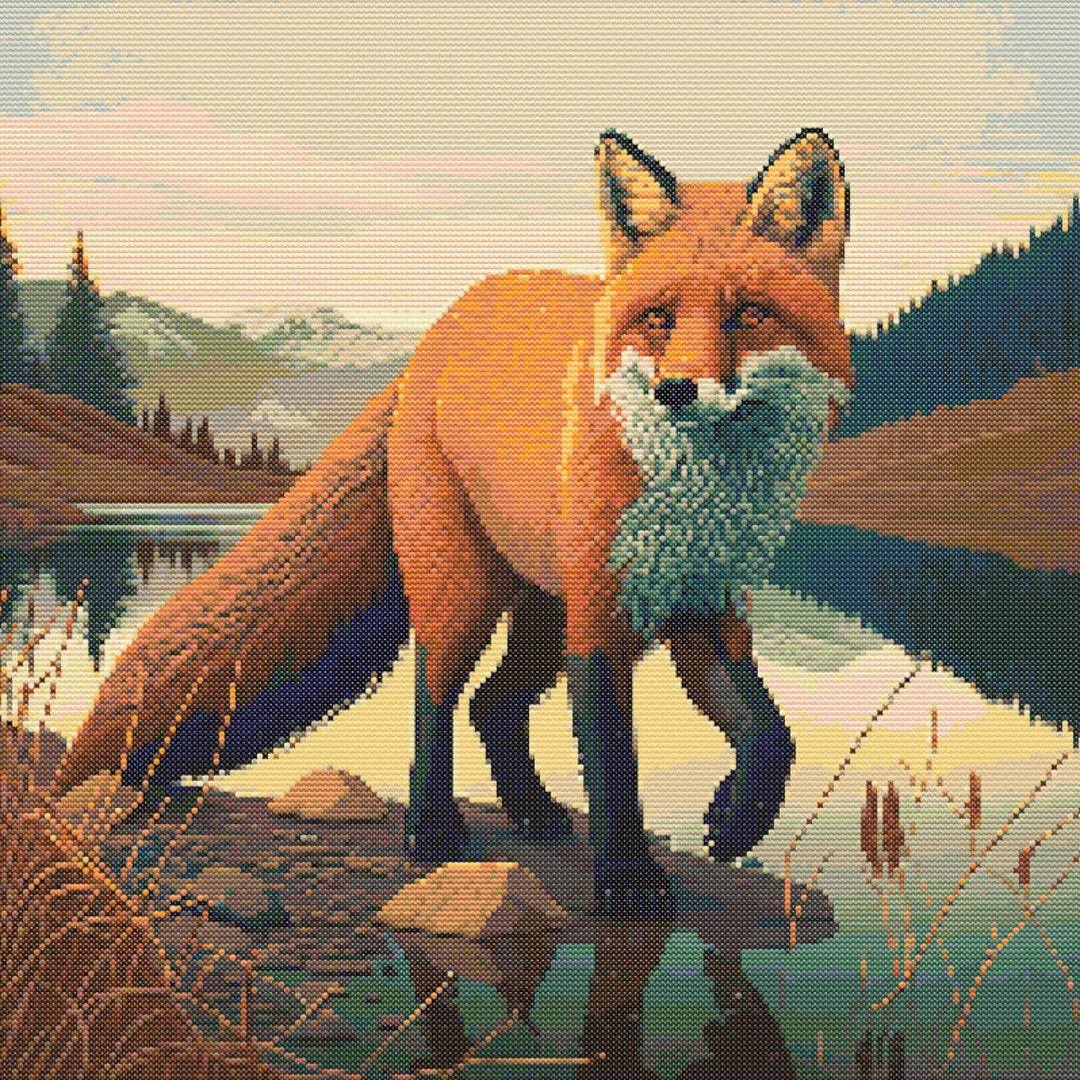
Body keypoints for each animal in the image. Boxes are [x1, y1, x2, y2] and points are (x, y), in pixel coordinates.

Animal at [54, 129, 853, 915]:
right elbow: (613, 759)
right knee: (437, 697)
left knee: (491, 705)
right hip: (466, 595)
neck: (699, 496)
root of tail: (435, 333)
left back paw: (532, 812)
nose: (677, 391)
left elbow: (771, 735)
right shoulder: (601, 619)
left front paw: (736, 817)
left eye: (747, 314)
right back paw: (431, 827)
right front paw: (627, 877)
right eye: (658, 318)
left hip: (542, 613)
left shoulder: (706, 604)